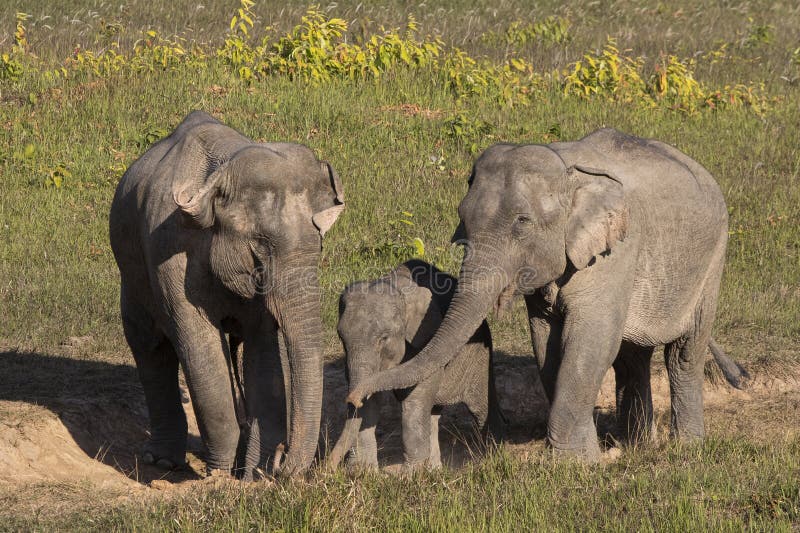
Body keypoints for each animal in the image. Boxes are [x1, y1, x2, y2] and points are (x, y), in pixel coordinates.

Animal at [109, 110, 344, 477]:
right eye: (260, 248)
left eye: (319, 245)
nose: (282, 461)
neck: (222, 173)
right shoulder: (168, 250)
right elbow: (200, 345)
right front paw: (220, 474)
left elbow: (265, 354)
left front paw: (251, 475)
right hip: (132, 276)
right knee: (150, 346)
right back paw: (162, 462)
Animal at [327, 260, 505, 469]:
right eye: (341, 337)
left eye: (383, 338)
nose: (327, 466)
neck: (395, 284)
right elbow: (370, 404)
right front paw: (362, 471)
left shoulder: (425, 340)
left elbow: (415, 398)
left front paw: (410, 474)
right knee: (434, 413)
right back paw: (435, 470)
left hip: (478, 356)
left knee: (480, 406)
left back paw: (492, 457)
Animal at [347, 128, 747, 461]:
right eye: (462, 217)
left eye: (522, 222)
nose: (355, 396)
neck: (566, 168)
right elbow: (548, 342)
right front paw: (588, 456)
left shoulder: (616, 252)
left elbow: (589, 340)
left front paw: (574, 464)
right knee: (631, 358)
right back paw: (634, 445)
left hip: (713, 258)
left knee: (683, 354)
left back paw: (686, 448)